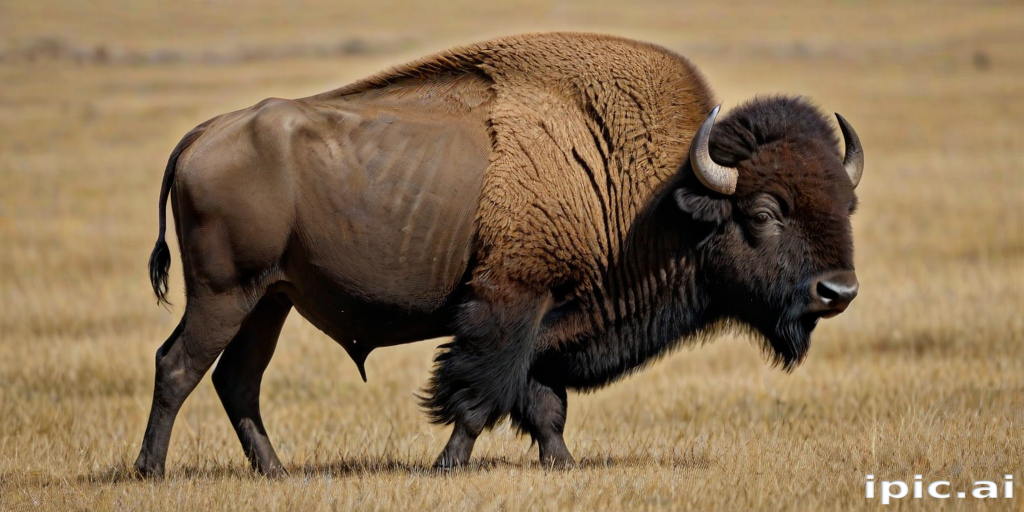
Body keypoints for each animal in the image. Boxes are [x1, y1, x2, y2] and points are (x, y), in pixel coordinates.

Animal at [133, 32, 863, 478]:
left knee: (237, 380)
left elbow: (540, 401)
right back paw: (151, 472)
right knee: (178, 366)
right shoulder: (510, 303)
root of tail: (203, 135)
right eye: (764, 213)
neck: (654, 190)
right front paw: (447, 466)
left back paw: (277, 473)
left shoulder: (548, 323)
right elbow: (479, 392)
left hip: (270, 302)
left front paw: (560, 464)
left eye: (847, 206)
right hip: (225, 294)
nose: (838, 292)